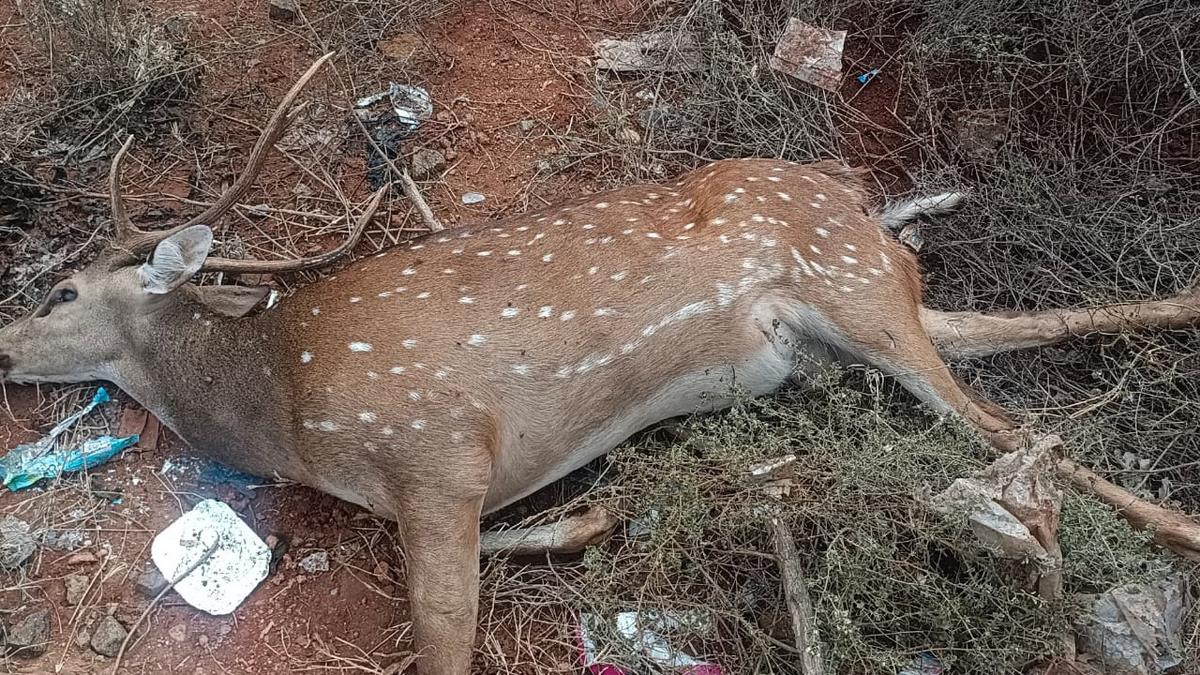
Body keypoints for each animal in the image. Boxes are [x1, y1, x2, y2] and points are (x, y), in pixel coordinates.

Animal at [1, 53, 1199, 674]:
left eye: (60, 292)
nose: (4, 344)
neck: (284, 407)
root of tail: (865, 211)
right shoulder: (459, 476)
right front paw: (593, 517)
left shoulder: (432, 444)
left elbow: (444, 635)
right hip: (864, 309)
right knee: (1022, 334)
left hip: (849, 285)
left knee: (1014, 433)